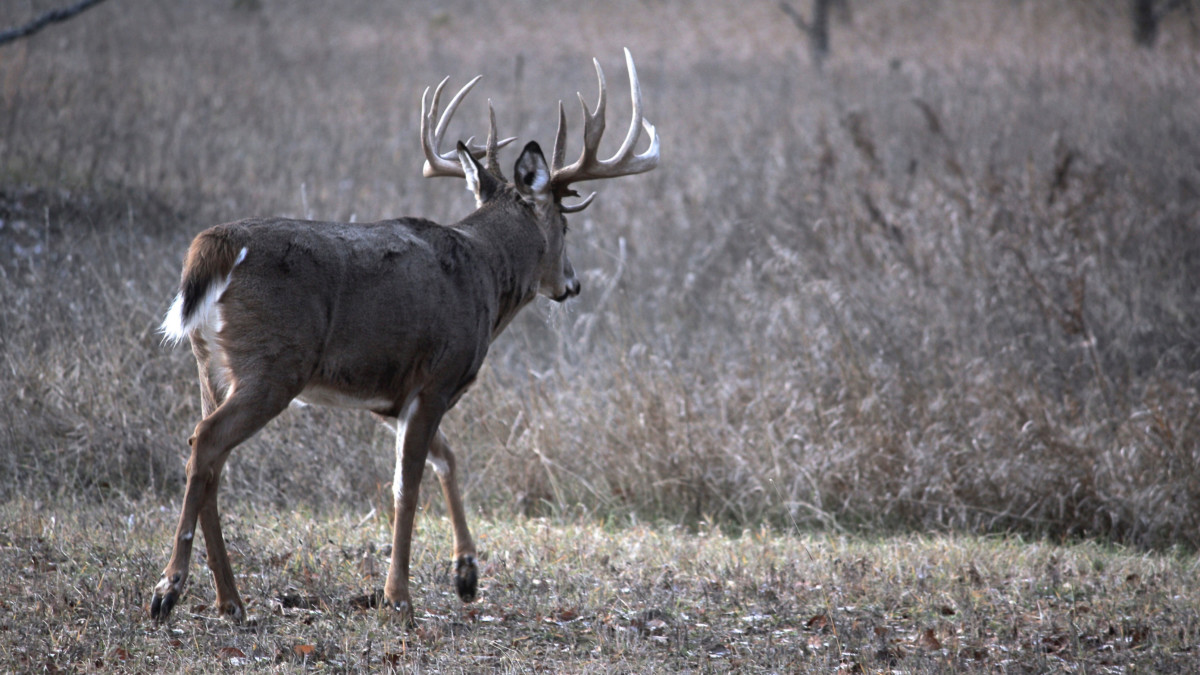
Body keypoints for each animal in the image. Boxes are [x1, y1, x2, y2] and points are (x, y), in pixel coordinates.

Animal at [150, 49, 659, 626]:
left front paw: (466, 575)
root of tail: (212, 247)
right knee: (206, 441)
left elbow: (447, 458)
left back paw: (230, 600)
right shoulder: (438, 376)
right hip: (272, 363)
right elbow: (407, 486)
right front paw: (398, 596)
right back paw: (168, 591)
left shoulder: (392, 396)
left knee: (210, 459)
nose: (572, 283)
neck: (486, 278)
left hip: (210, 365)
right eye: (565, 228)